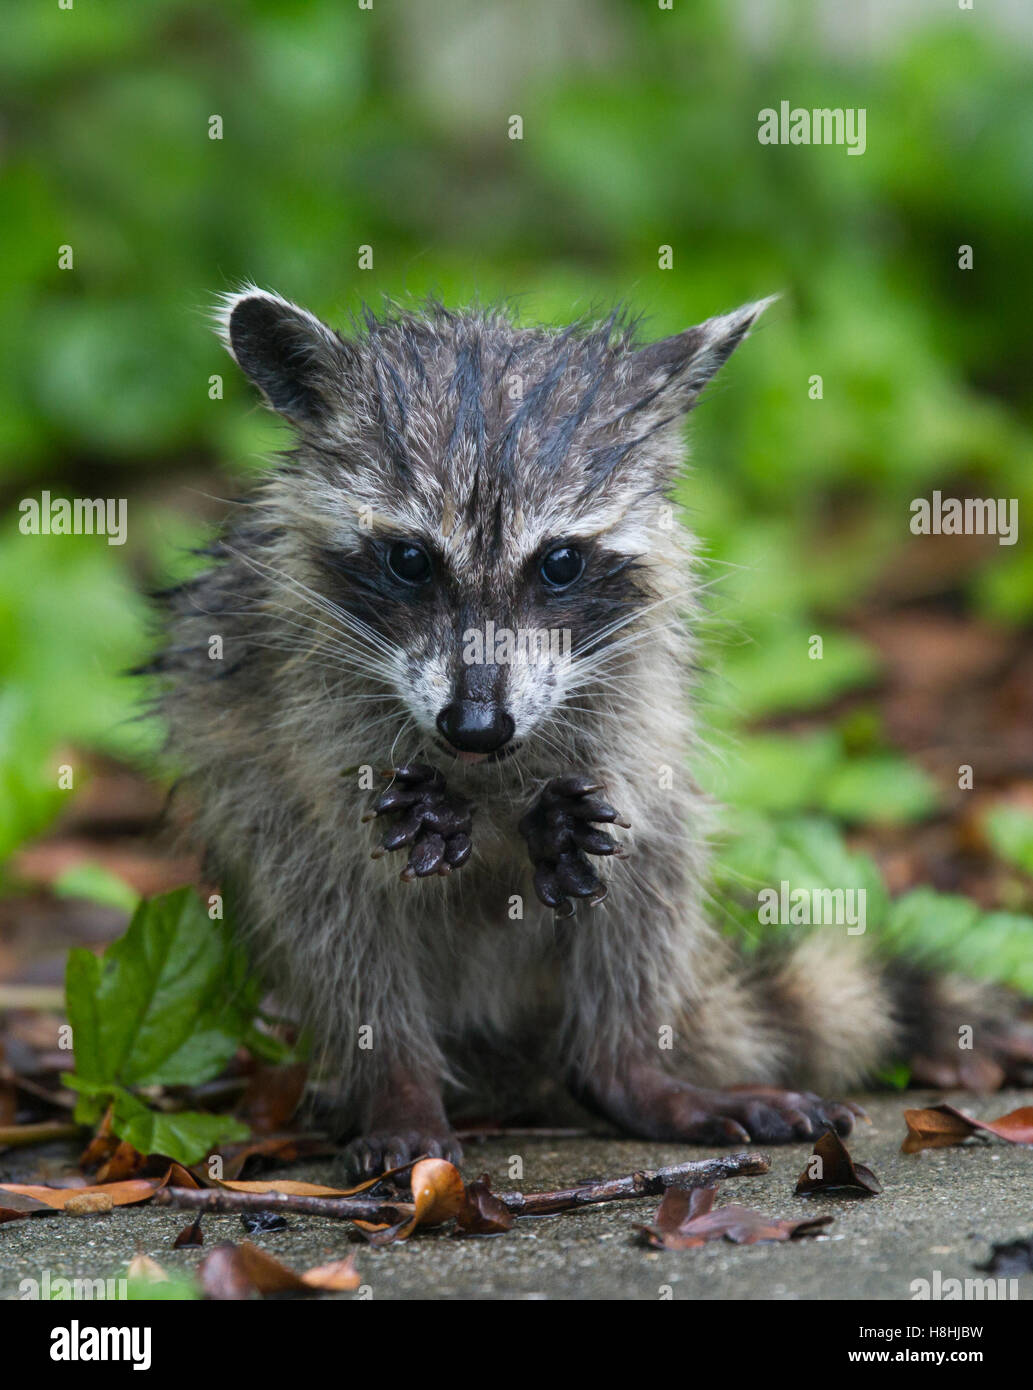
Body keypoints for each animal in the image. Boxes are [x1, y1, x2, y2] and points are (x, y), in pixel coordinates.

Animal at [154, 288, 1029, 1173]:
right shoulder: (282, 645)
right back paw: (396, 1080)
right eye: (409, 559)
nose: (476, 726)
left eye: (560, 562)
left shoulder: (637, 663)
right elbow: (317, 772)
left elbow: (634, 763)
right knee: (323, 906)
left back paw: (627, 1064)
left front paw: (532, 817)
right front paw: (432, 809)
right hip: (276, 852)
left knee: (651, 877)